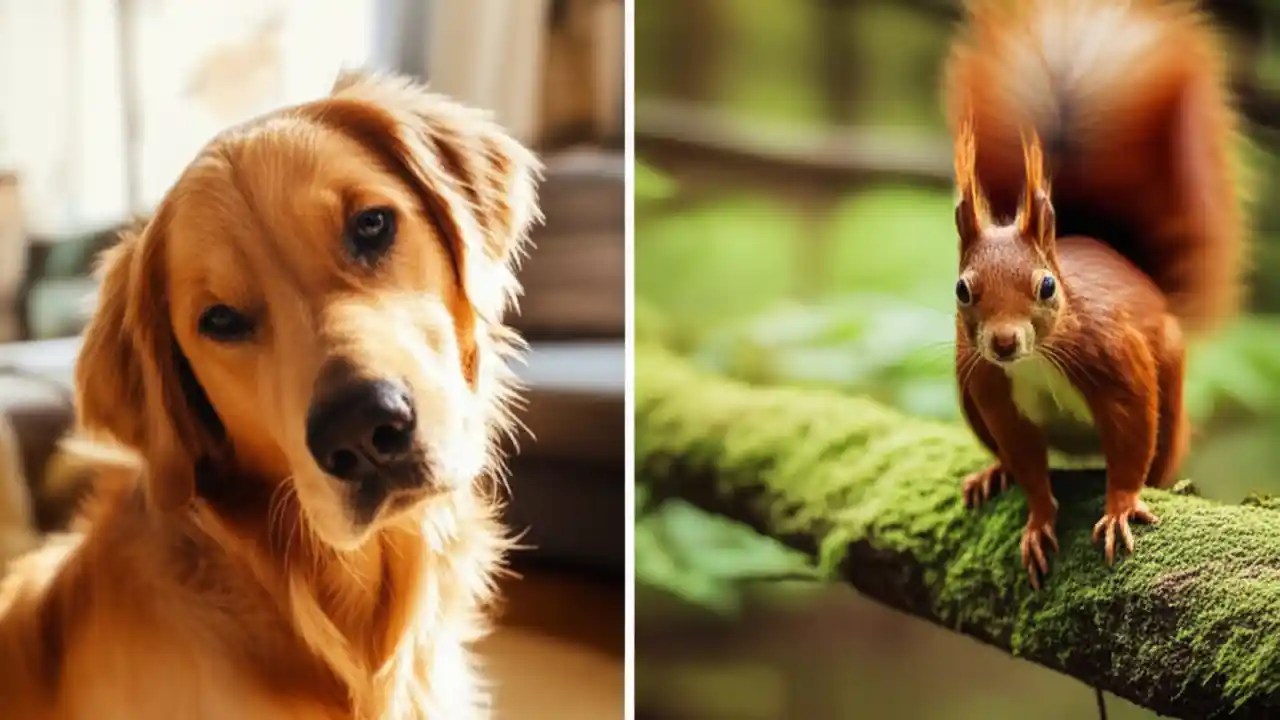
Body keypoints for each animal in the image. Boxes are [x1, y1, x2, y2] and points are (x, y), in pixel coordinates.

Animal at [944, 0, 1246, 587]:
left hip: (1171, 383)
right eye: (962, 289)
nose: (1004, 343)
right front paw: (1038, 520)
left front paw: (1121, 506)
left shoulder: (1112, 359)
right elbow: (1028, 464)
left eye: (1047, 285)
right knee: (1006, 455)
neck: (1037, 359)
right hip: (967, 381)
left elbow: (1131, 435)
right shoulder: (994, 391)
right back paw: (993, 473)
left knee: (1159, 448)